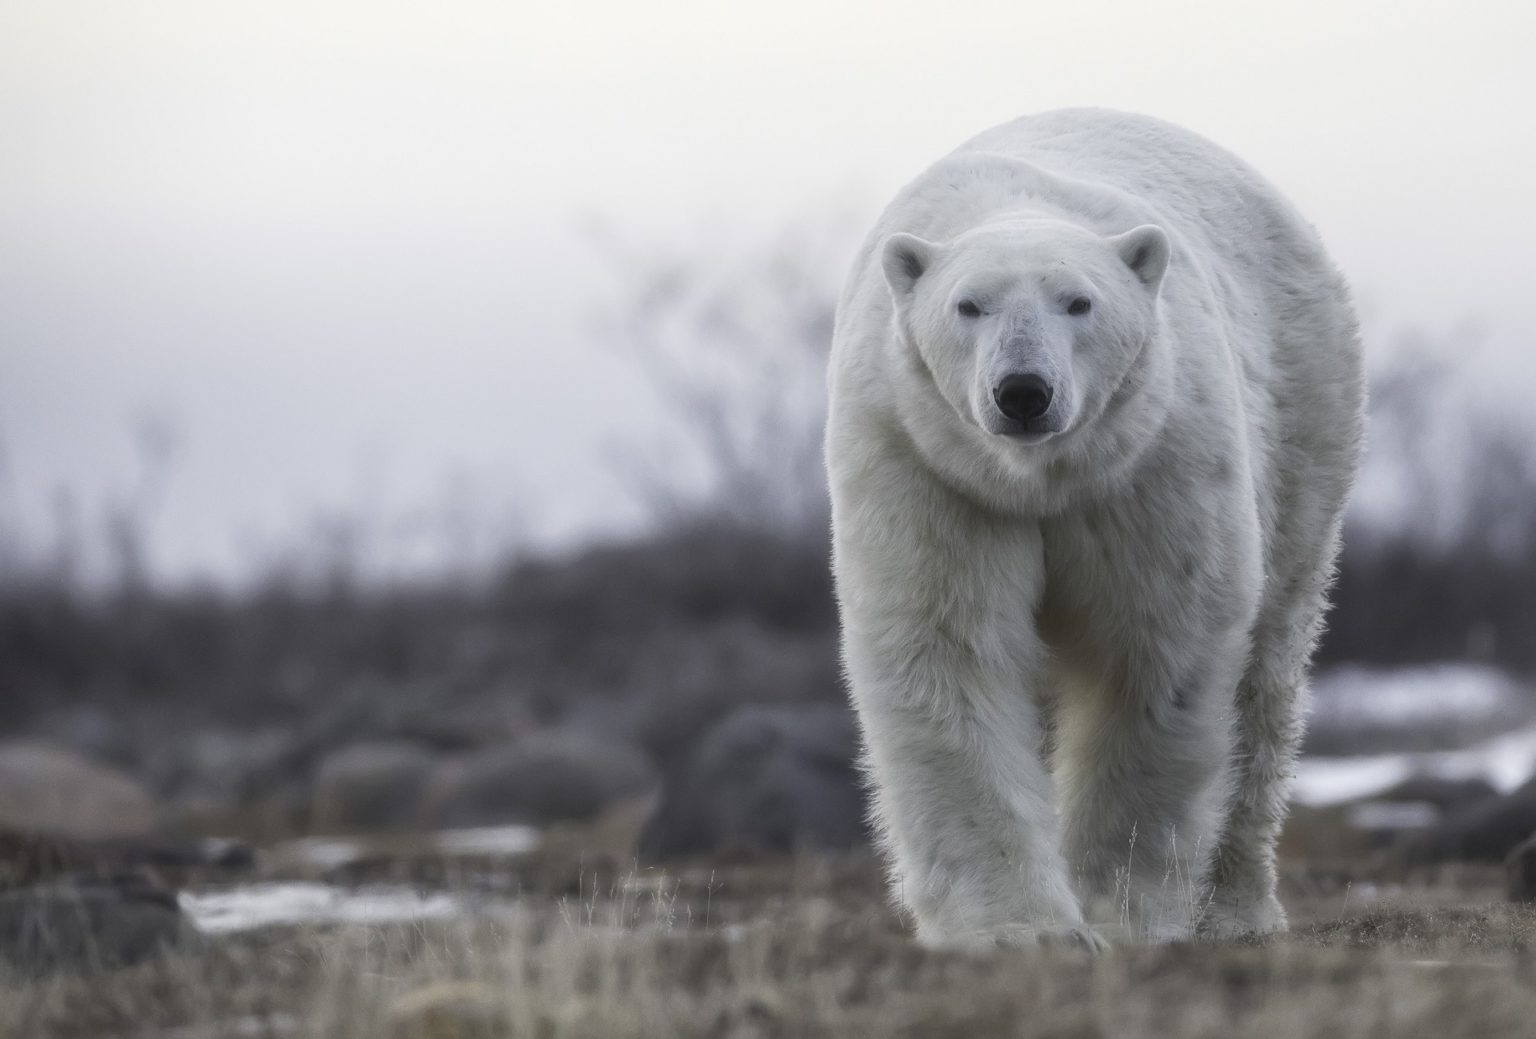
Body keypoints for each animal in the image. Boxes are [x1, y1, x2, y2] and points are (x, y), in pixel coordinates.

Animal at [825, 108, 1364, 948]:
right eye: (968, 305)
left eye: (1079, 303)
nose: (1022, 391)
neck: (1040, 477)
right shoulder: (926, 460)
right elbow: (948, 642)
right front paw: (1019, 927)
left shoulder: (1148, 460)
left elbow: (1150, 650)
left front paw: (1121, 912)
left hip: (1306, 409)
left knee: (1271, 666)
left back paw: (1238, 908)